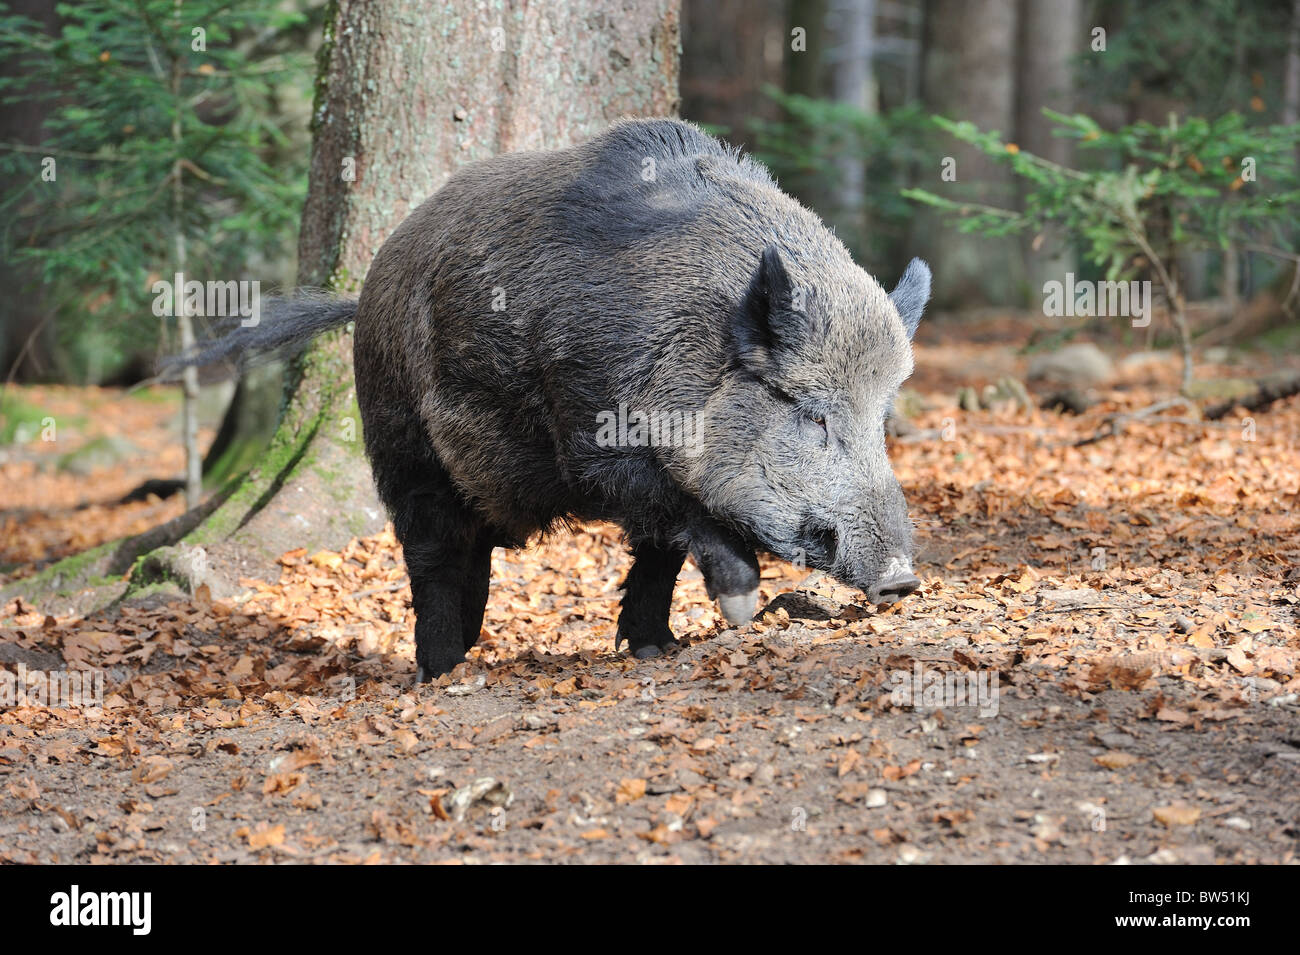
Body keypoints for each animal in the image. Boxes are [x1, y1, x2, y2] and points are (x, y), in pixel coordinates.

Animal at [190, 118, 930, 681]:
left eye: (882, 419)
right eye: (812, 413)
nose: (901, 578)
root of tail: (369, 285)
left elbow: (659, 549)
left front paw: (656, 648)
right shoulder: (589, 436)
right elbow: (680, 511)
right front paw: (743, 608)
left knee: (471, 559)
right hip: (403, 444)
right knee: (429, 554)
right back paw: (440, 672)